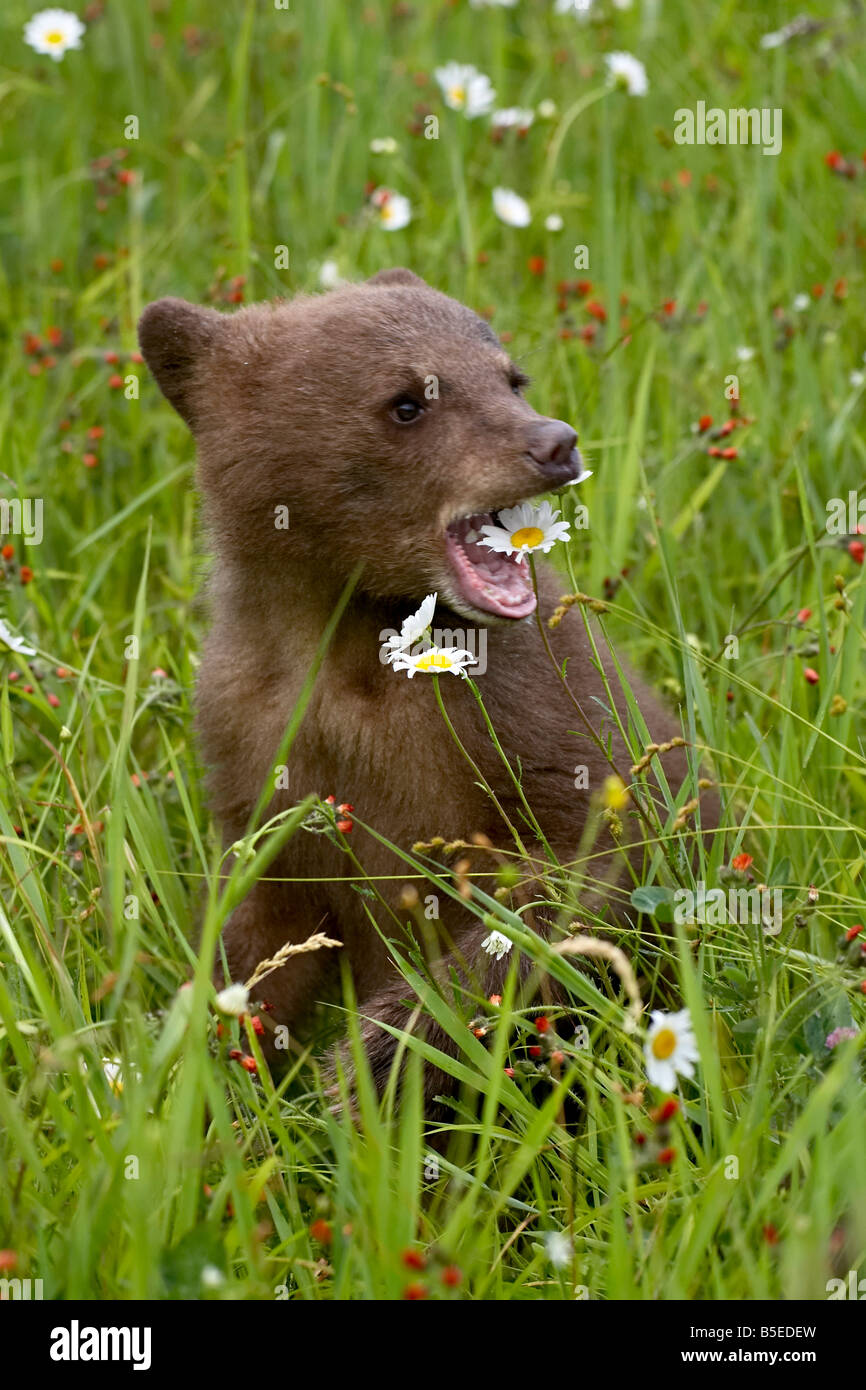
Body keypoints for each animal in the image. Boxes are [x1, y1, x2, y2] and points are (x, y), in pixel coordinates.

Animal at [138, 268, 708, 1100]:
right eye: (407, 400)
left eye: (509, 376)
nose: (555, 442)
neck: (346, 644)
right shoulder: (256, 741)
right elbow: (256, 937)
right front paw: (210, 1077)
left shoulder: (528, 706)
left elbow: (578, 864)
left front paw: (372, 1058)